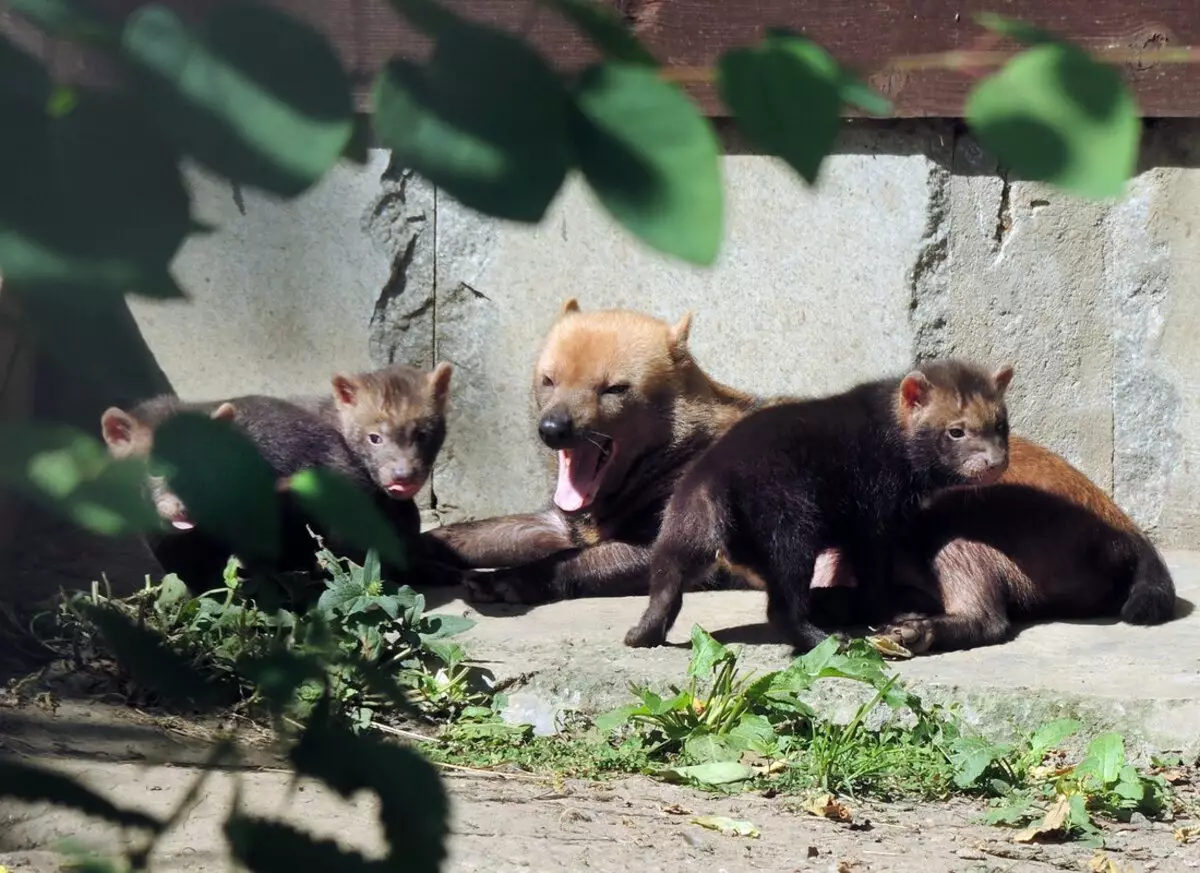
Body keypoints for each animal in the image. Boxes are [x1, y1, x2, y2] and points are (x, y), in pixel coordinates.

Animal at [422, 296, 758, 604]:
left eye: (615, 388)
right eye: (548, 380)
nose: (553, 428)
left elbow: (570, 561)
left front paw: (497, 581)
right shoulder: (560, 523)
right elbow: (481, 532)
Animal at [628, 357, 1012, 652]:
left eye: (1000, 423)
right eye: (956, 431)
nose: (996, 462)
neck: (890, 432)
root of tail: (715, 477)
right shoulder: (874, 517)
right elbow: (873, 574)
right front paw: (887, 610)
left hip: (683, 525)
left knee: (667, 580)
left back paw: (641, 634)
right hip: (791, 528)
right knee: (783, 607)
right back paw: (826, 638)